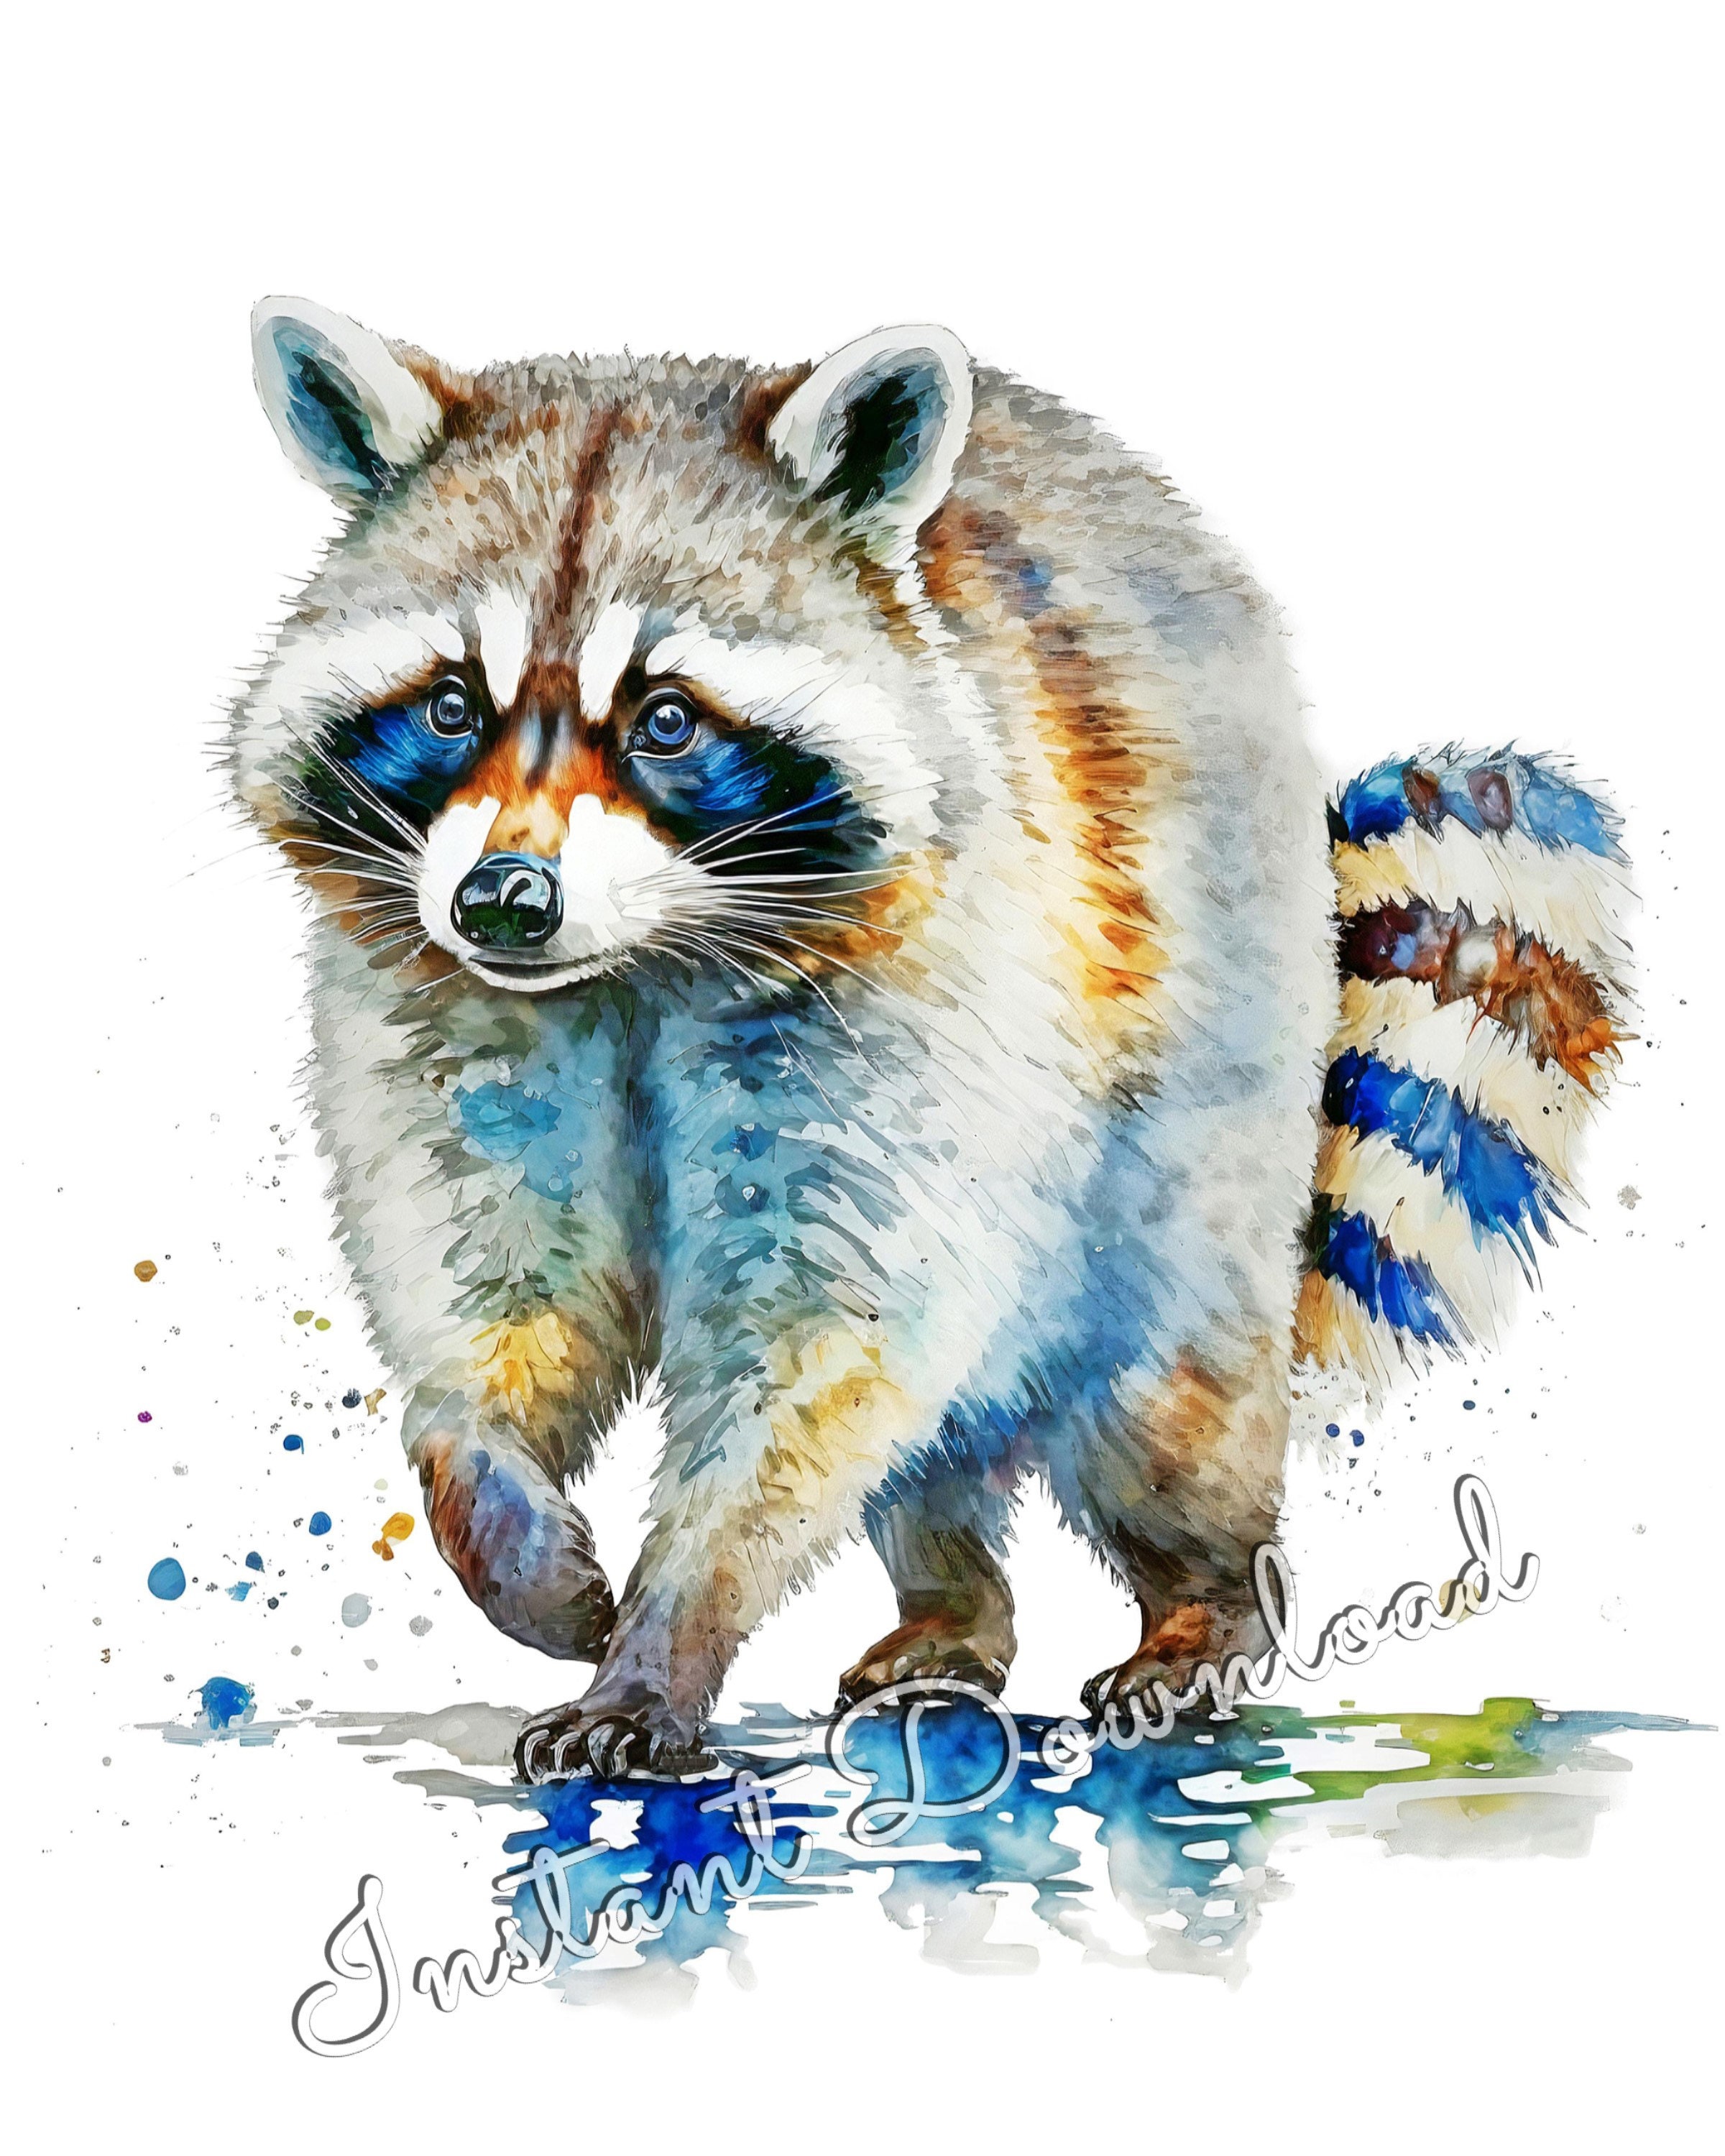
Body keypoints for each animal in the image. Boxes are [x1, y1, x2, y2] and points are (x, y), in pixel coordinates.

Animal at [230, 301, 1633, 1780]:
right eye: (452, 706)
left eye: (667, 719)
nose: (504, 899)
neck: (632, 969)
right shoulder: (453, 1016)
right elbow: (494, 1289)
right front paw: (496, 1515)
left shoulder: (924, 1001)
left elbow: (816, 1342)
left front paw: (671, 1628)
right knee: (937, 1439)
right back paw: (952, 1603)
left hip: (1206, 1070)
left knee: (1158, 1386)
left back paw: (1208, 1602)